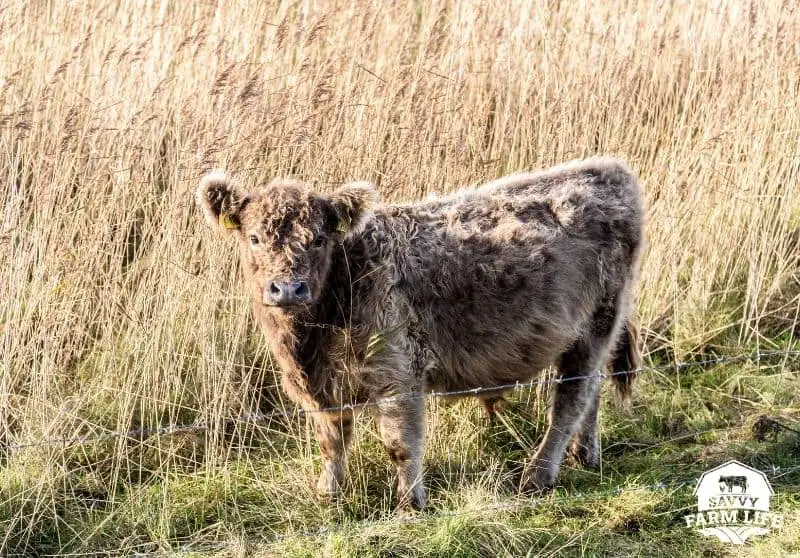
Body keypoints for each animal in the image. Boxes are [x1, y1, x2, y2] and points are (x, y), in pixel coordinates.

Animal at [196, 157, 645, 511]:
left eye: (319, 238)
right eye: (254, 238)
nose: (288, 289)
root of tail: (606, 169)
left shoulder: (398, 371)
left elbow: (400, 444)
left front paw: (409, 504)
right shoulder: (322, 388)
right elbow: (332, 440)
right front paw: (328, 494)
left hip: (597, 321)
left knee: (571, 398)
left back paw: (538, 475)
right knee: (590, 391)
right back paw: (584, 455)